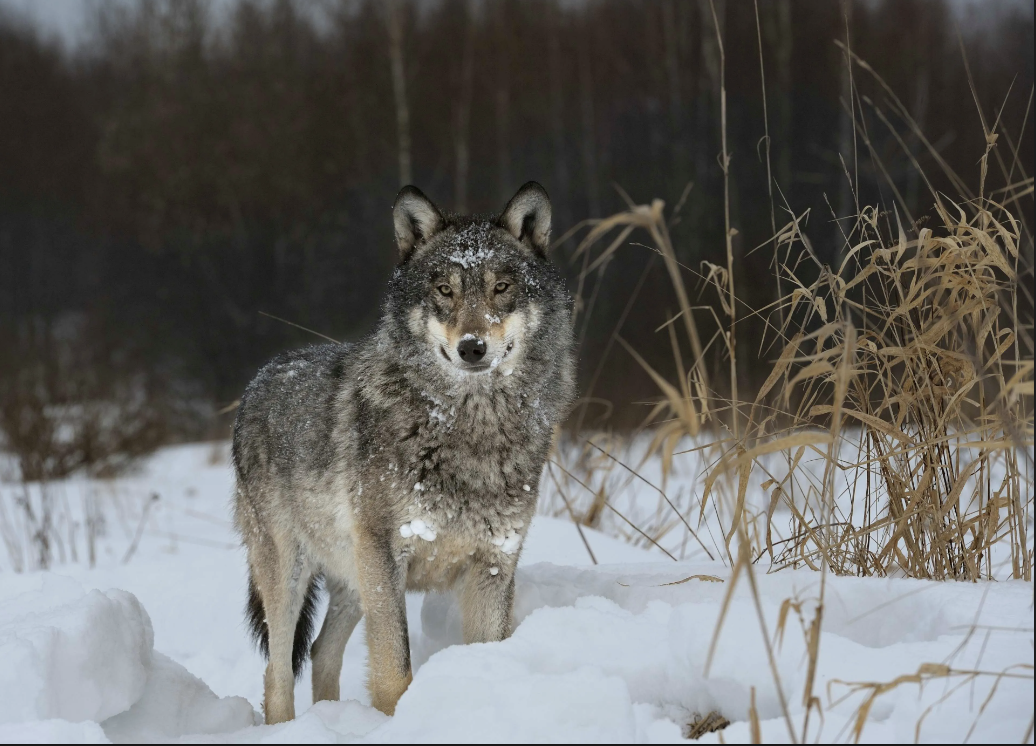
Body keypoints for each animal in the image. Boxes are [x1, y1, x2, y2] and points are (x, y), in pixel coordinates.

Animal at [231, 182, 575, 723]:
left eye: (501, 287)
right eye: (444, 290)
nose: (473, 347)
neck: (469, 430)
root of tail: (259, 380)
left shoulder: (493, 565)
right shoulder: (385, 557)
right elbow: (395, 671)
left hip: (353, 578)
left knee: (321, 652)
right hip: (294, 573)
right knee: (279, 670)